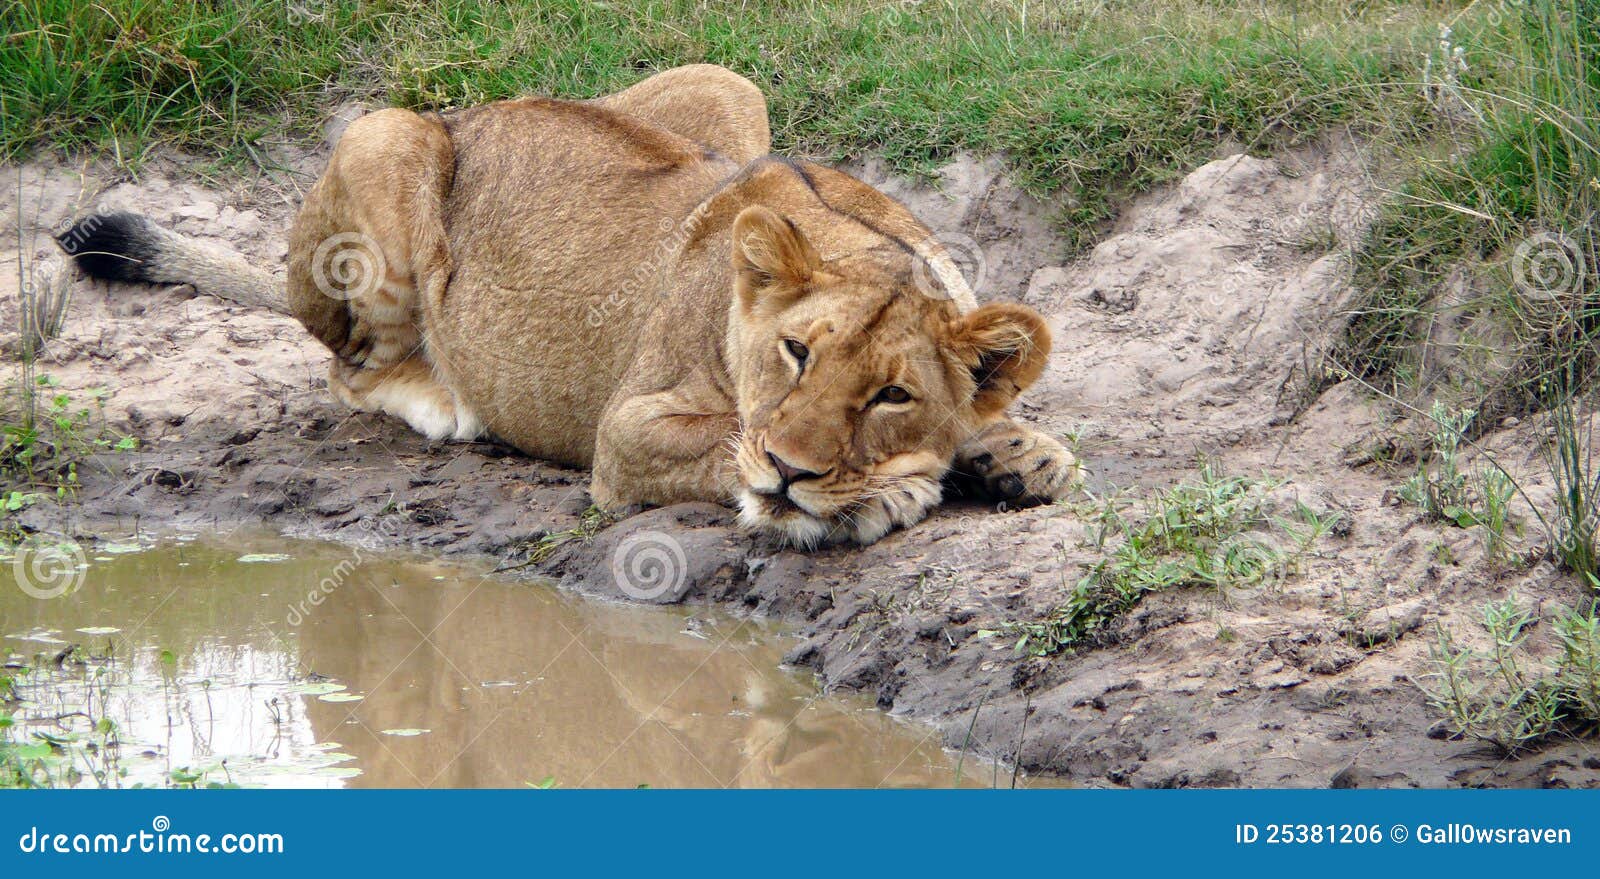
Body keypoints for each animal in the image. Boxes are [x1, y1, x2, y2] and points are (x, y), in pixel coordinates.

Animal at [60, 64, 1078, 547]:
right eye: (796, 352)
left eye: (892, 394)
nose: (792, 471)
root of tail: (465, 109)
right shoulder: (624, 434)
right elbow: (730, 443)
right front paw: (884, 491)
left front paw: (1022, 452)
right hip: (384, 135)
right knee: (352, 369)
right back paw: (450, 401)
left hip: (726, 85)